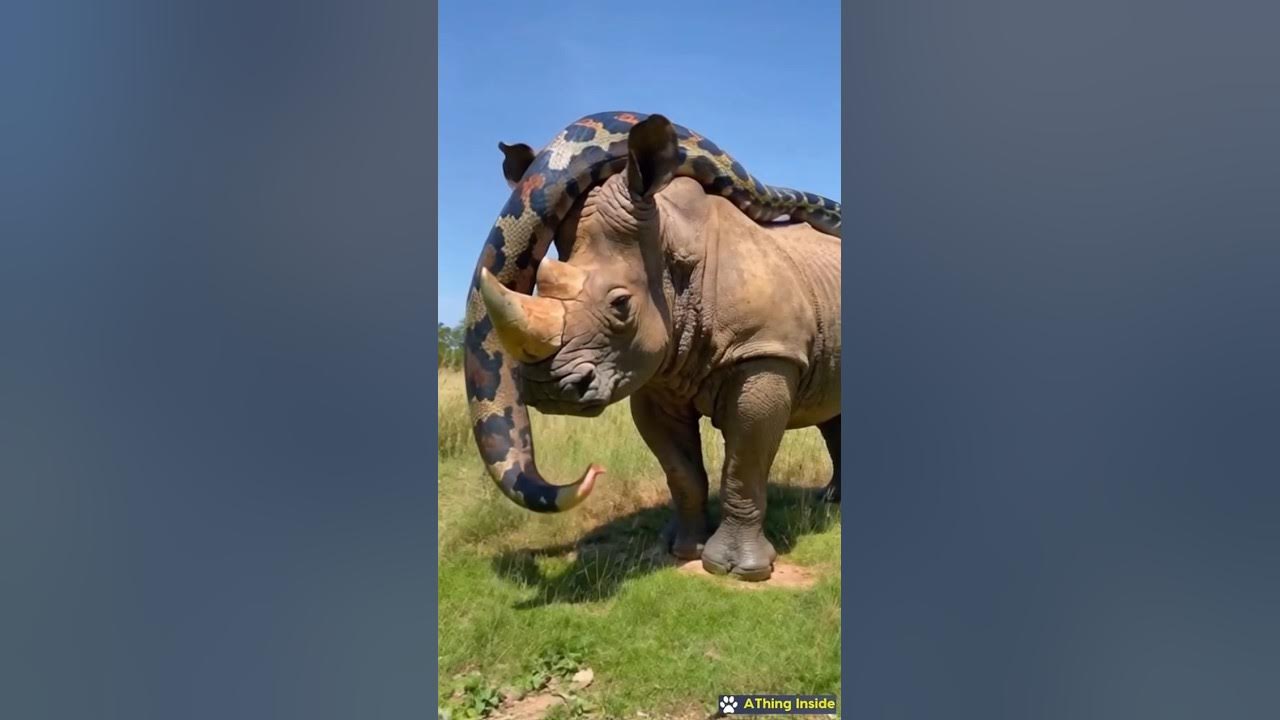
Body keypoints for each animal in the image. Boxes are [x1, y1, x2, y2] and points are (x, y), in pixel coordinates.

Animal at [471, 116, 840, 581]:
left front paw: (739, 570)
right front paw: (682, 550)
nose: (550, 389)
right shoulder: (652, 371)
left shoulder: (766, 350)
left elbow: (744, 462)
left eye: (621, 305)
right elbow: (680, 470)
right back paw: (831, 500)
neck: (675, 245)